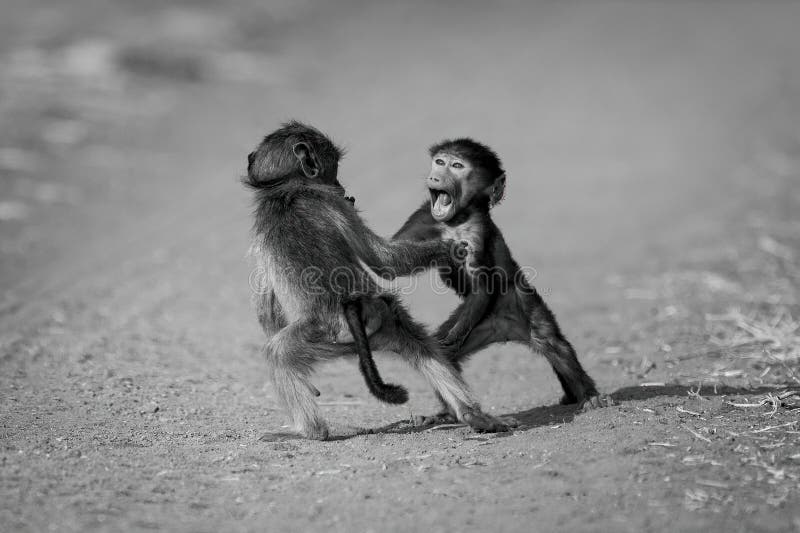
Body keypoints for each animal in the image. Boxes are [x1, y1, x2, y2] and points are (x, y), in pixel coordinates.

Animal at [244, 121, 510, 439]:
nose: (343, 188)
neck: (287, 188)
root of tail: (352, 306)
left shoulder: (329, 205)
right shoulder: (337, 205)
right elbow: (383, 261)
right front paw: (449, 250)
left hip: (327, 331)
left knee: (277, 353)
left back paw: (309, 432)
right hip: (379, 318)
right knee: (420, 345)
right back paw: (473, 414)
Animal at [393, 138, 606, 425]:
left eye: (456, 166)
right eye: (439, 161)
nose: (435, 176)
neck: (456, 220)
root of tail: (504, 328)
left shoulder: (477, 231)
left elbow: (483, 286)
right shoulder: (425, 214)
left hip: (518, 302)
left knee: (552, 342)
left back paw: (589, 396)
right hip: (478, 323)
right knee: (443, 357)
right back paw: (447, 414)